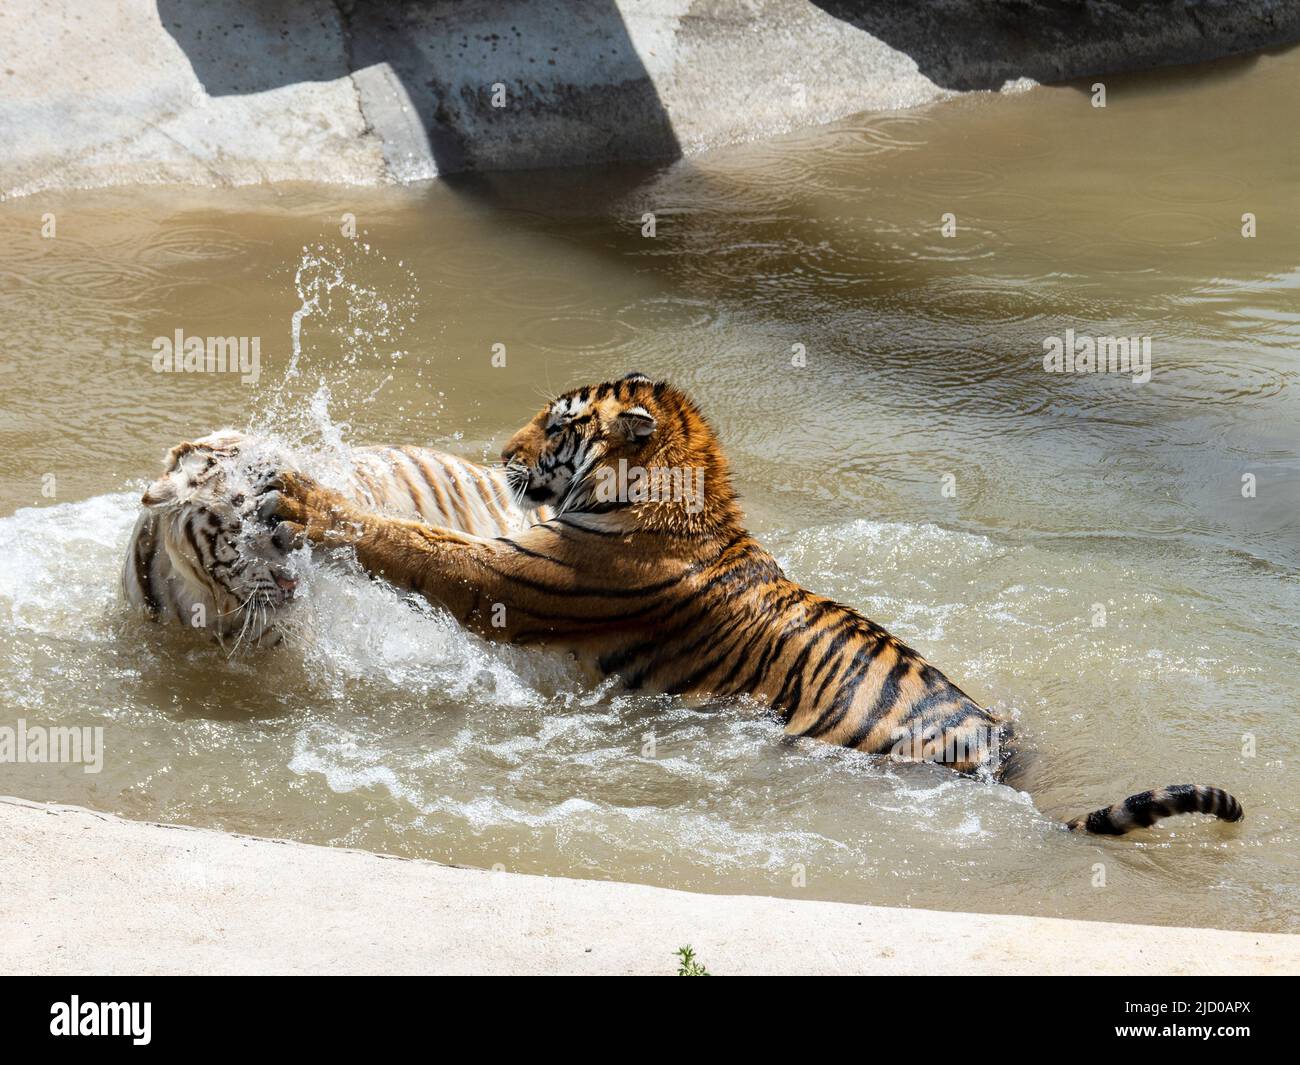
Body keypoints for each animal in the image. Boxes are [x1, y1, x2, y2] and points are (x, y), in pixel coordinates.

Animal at [255, 373, 1245, 836]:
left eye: (559, 423)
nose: (501, 452)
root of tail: (999, 757)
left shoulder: (505, 582)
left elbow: (412, 543)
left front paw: (302, 498)